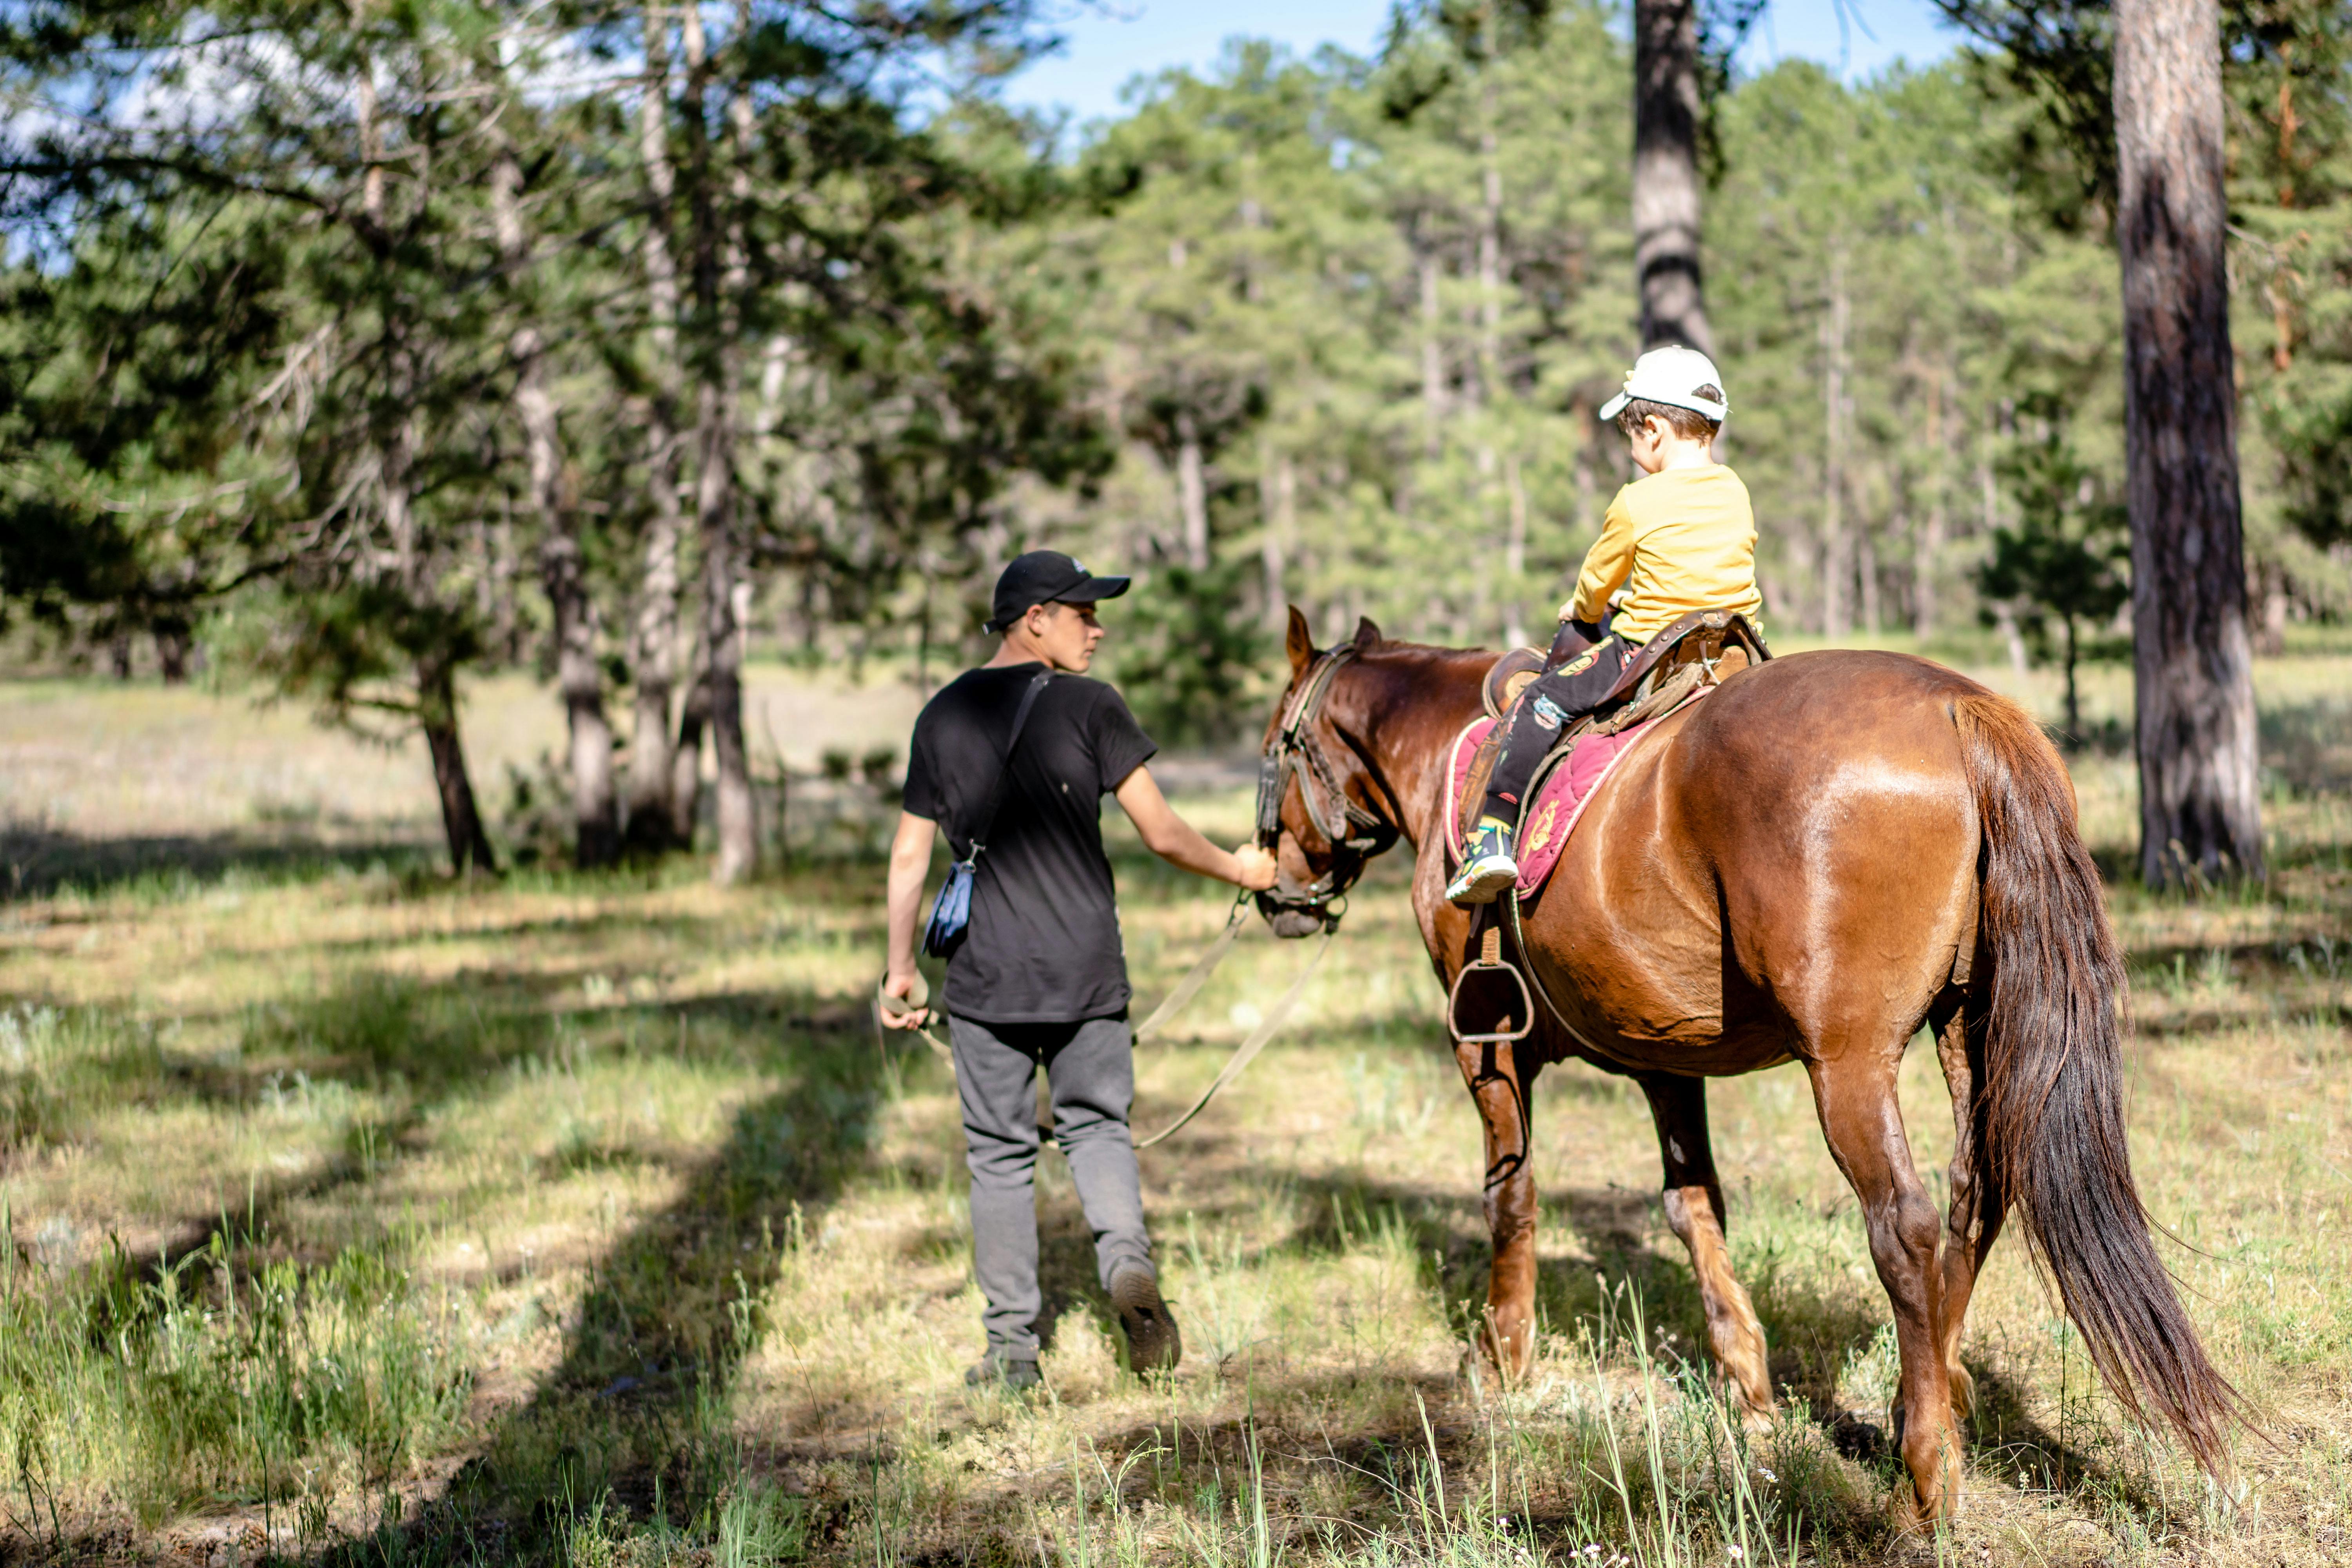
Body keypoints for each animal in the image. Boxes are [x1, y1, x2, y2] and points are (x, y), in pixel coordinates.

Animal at [1250, 608, 2239, 1521]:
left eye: (1273, 750)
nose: (1279, 894)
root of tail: (1961, 708)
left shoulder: (1487, 1046)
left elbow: (1511, 1196)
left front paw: (1506, 1359)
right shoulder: (1661, 1055)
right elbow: (1694, 1209)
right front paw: (1748, 1389)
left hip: (1849, 1061)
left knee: (1907, 1225)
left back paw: (1924, 1473)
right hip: (1970, 1026)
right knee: (1977, 1198)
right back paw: (1929, 1401)